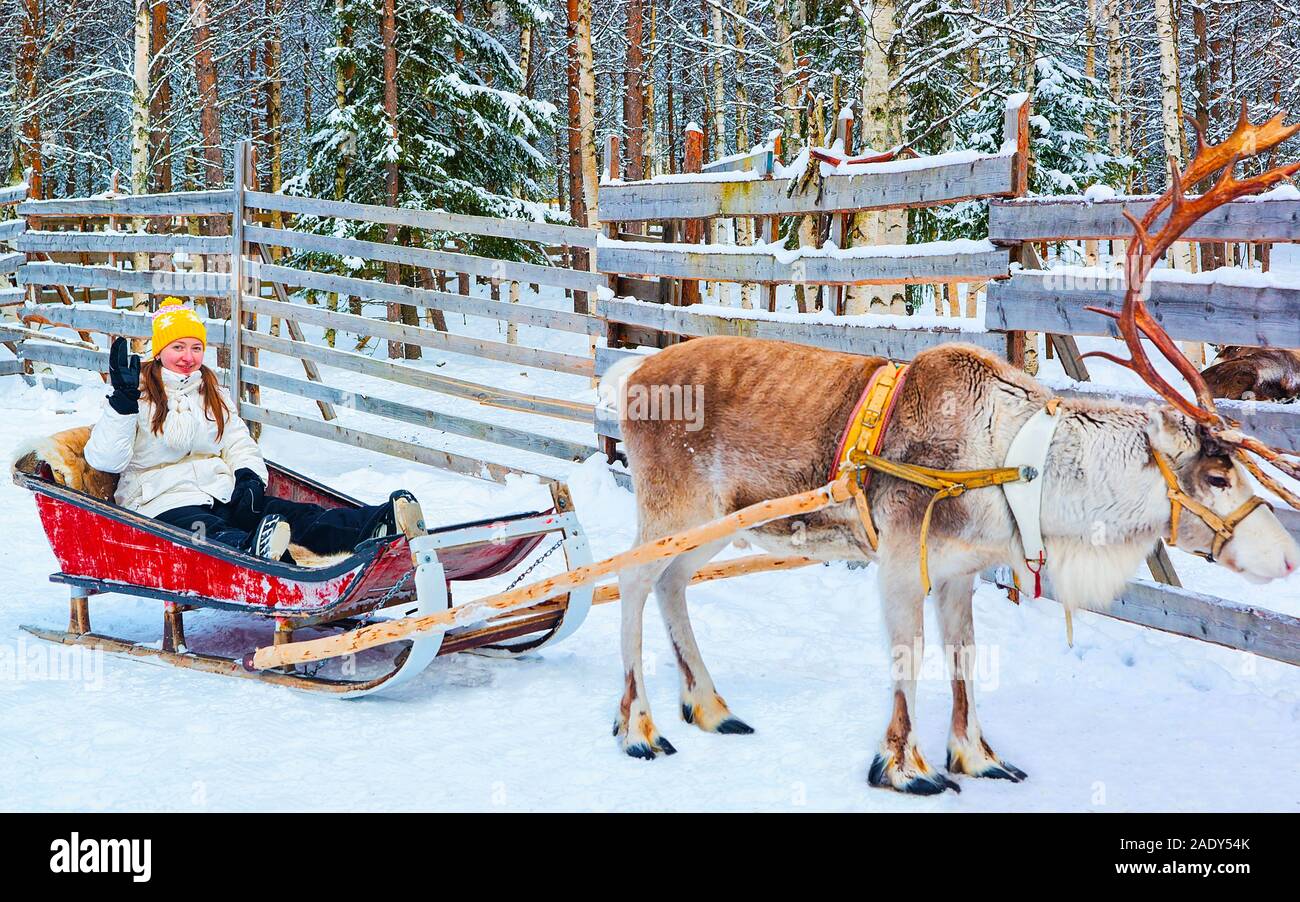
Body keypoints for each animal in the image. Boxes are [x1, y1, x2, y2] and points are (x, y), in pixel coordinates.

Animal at [598, 107, 1300, 795]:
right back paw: (638, 727)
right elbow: (909, 658)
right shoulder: (901, 558)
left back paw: (710, 707)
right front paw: (903, 766)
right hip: (671, 507)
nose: (1288, 556)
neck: (1021, 476)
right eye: (1217, 476)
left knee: (673, 582)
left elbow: (964, 661)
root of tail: (629, 375)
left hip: (720, 522)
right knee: (631, 579)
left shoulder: (962, 571)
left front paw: (976, 756)